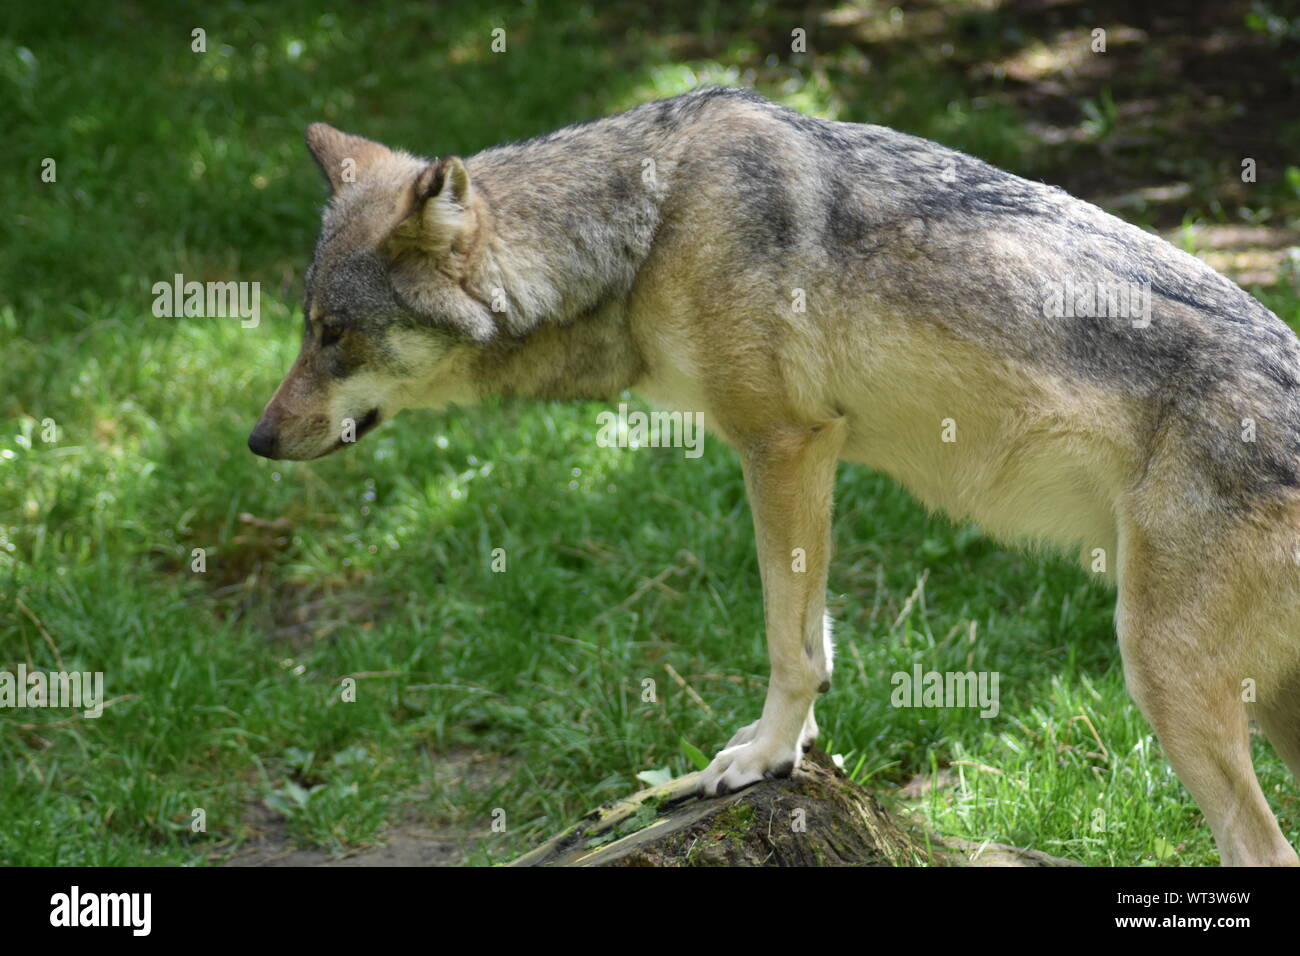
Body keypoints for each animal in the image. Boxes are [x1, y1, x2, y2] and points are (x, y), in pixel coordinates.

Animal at [249, 86, 1300, 866]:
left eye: (335, 336)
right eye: (307, 328)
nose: (258, 440)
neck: (649, 225)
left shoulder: (782, 443)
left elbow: (788, 646)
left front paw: (758, 758)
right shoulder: (809, 461)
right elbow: (819, 639)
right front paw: (788, 751)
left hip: (1160, 675)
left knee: (1262, 849)